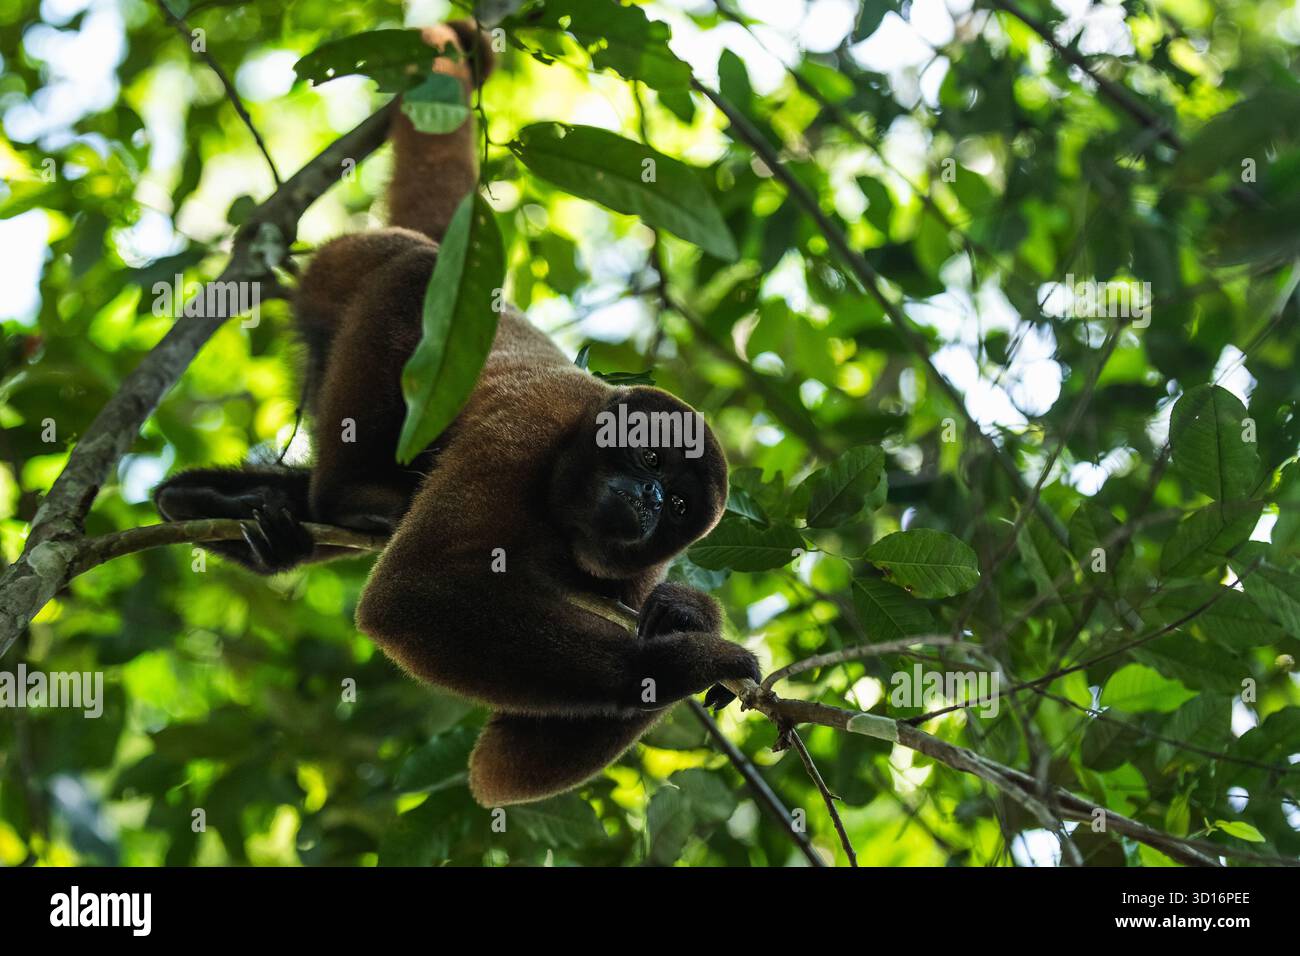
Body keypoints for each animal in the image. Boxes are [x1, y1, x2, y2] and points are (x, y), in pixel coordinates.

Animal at [154, 22, 761, 806]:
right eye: (652, 456)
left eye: (681, 506)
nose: (653, 499)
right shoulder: (530, 429)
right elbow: (410, 597)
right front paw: (692, 660)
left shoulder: (631, 576)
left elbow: (498, 768)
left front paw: (687, 615)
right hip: (341, 272)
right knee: (405, 279)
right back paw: (344, 496)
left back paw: (235, 511)